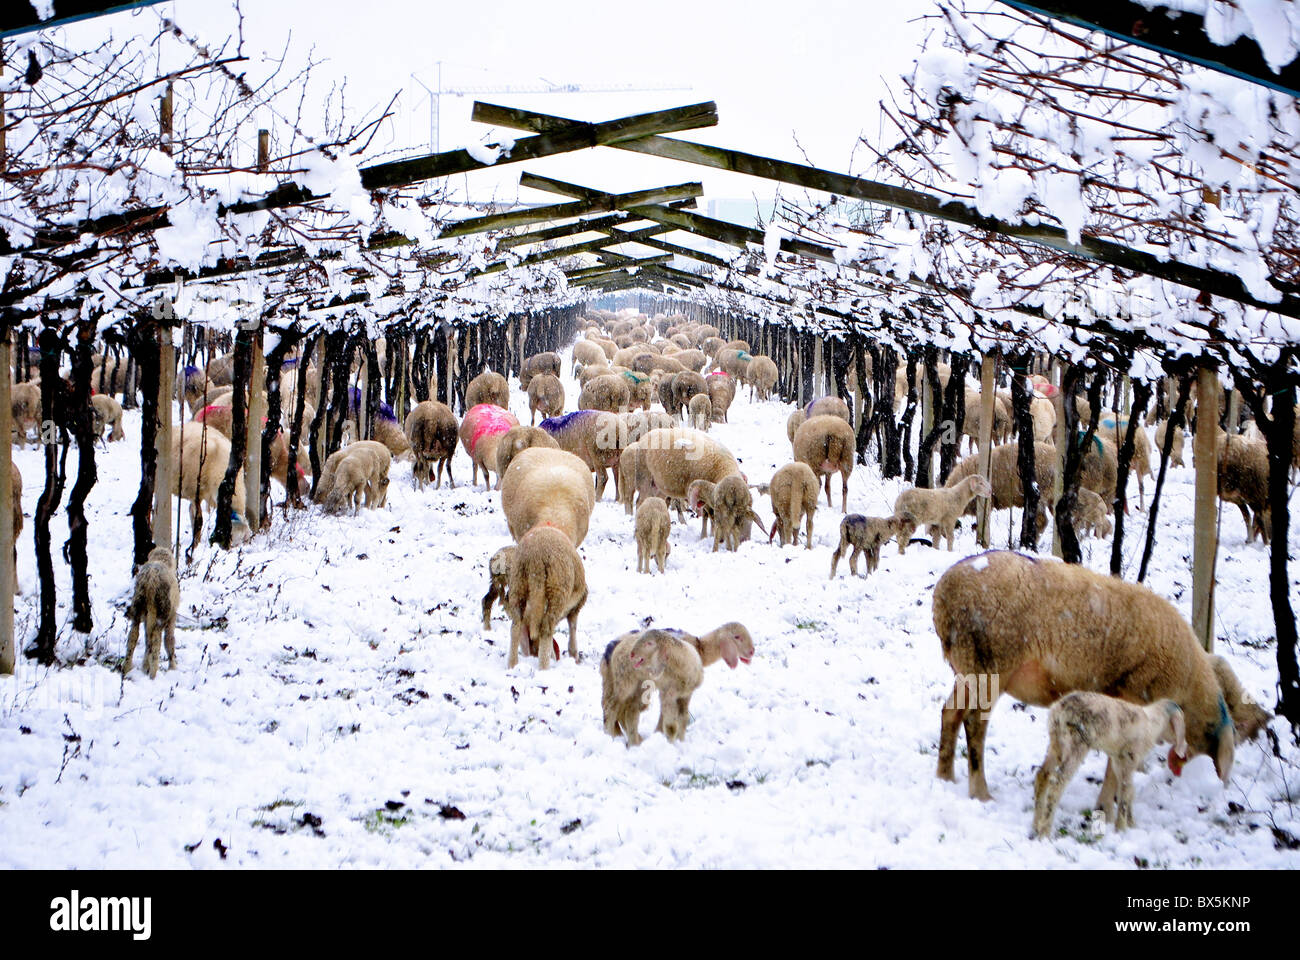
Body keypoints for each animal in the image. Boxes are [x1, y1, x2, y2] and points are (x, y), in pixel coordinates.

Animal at [123, 546, 180, 679]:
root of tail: (151, 580)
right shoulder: (172, 616)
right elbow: (169, 640)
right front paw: (173, 667)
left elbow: (146, 639)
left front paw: (145, 666)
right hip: (162, 611)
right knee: (156, 641)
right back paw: (153, 674)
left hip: (138, 606)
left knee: (133, 636)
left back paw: (127, 668)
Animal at [505, 525, 587, 670]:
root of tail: (536, 558)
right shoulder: (576, 607)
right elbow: (572, 628)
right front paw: (574, 656)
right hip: (557, 589)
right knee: (546, 628)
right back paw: (544, 667)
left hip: (517, 582)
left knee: (516, 626)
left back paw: (512, 664)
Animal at [932, 550, 1270, 802]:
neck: (1187, 688)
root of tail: (943, 595)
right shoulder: (1133, 696)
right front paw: (1107, 806)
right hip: (991, 663)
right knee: (974, 723)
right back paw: (981, 794)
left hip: (966, 668)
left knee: (950, 712)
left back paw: (945, 778)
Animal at [1032, 694, 1187, 837]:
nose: (1184, 745)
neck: (1152, 724)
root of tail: (1059, 711)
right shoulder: (1129, 758)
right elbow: (1125, 791)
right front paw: (1122, 829)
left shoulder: (1118, 760)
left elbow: (1128, 791)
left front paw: (1131, 823)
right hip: (1077, 743)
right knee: (1057, 783)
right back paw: (1045, 832)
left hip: (1056, 742)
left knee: (1042, 775)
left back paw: (1036, 824)